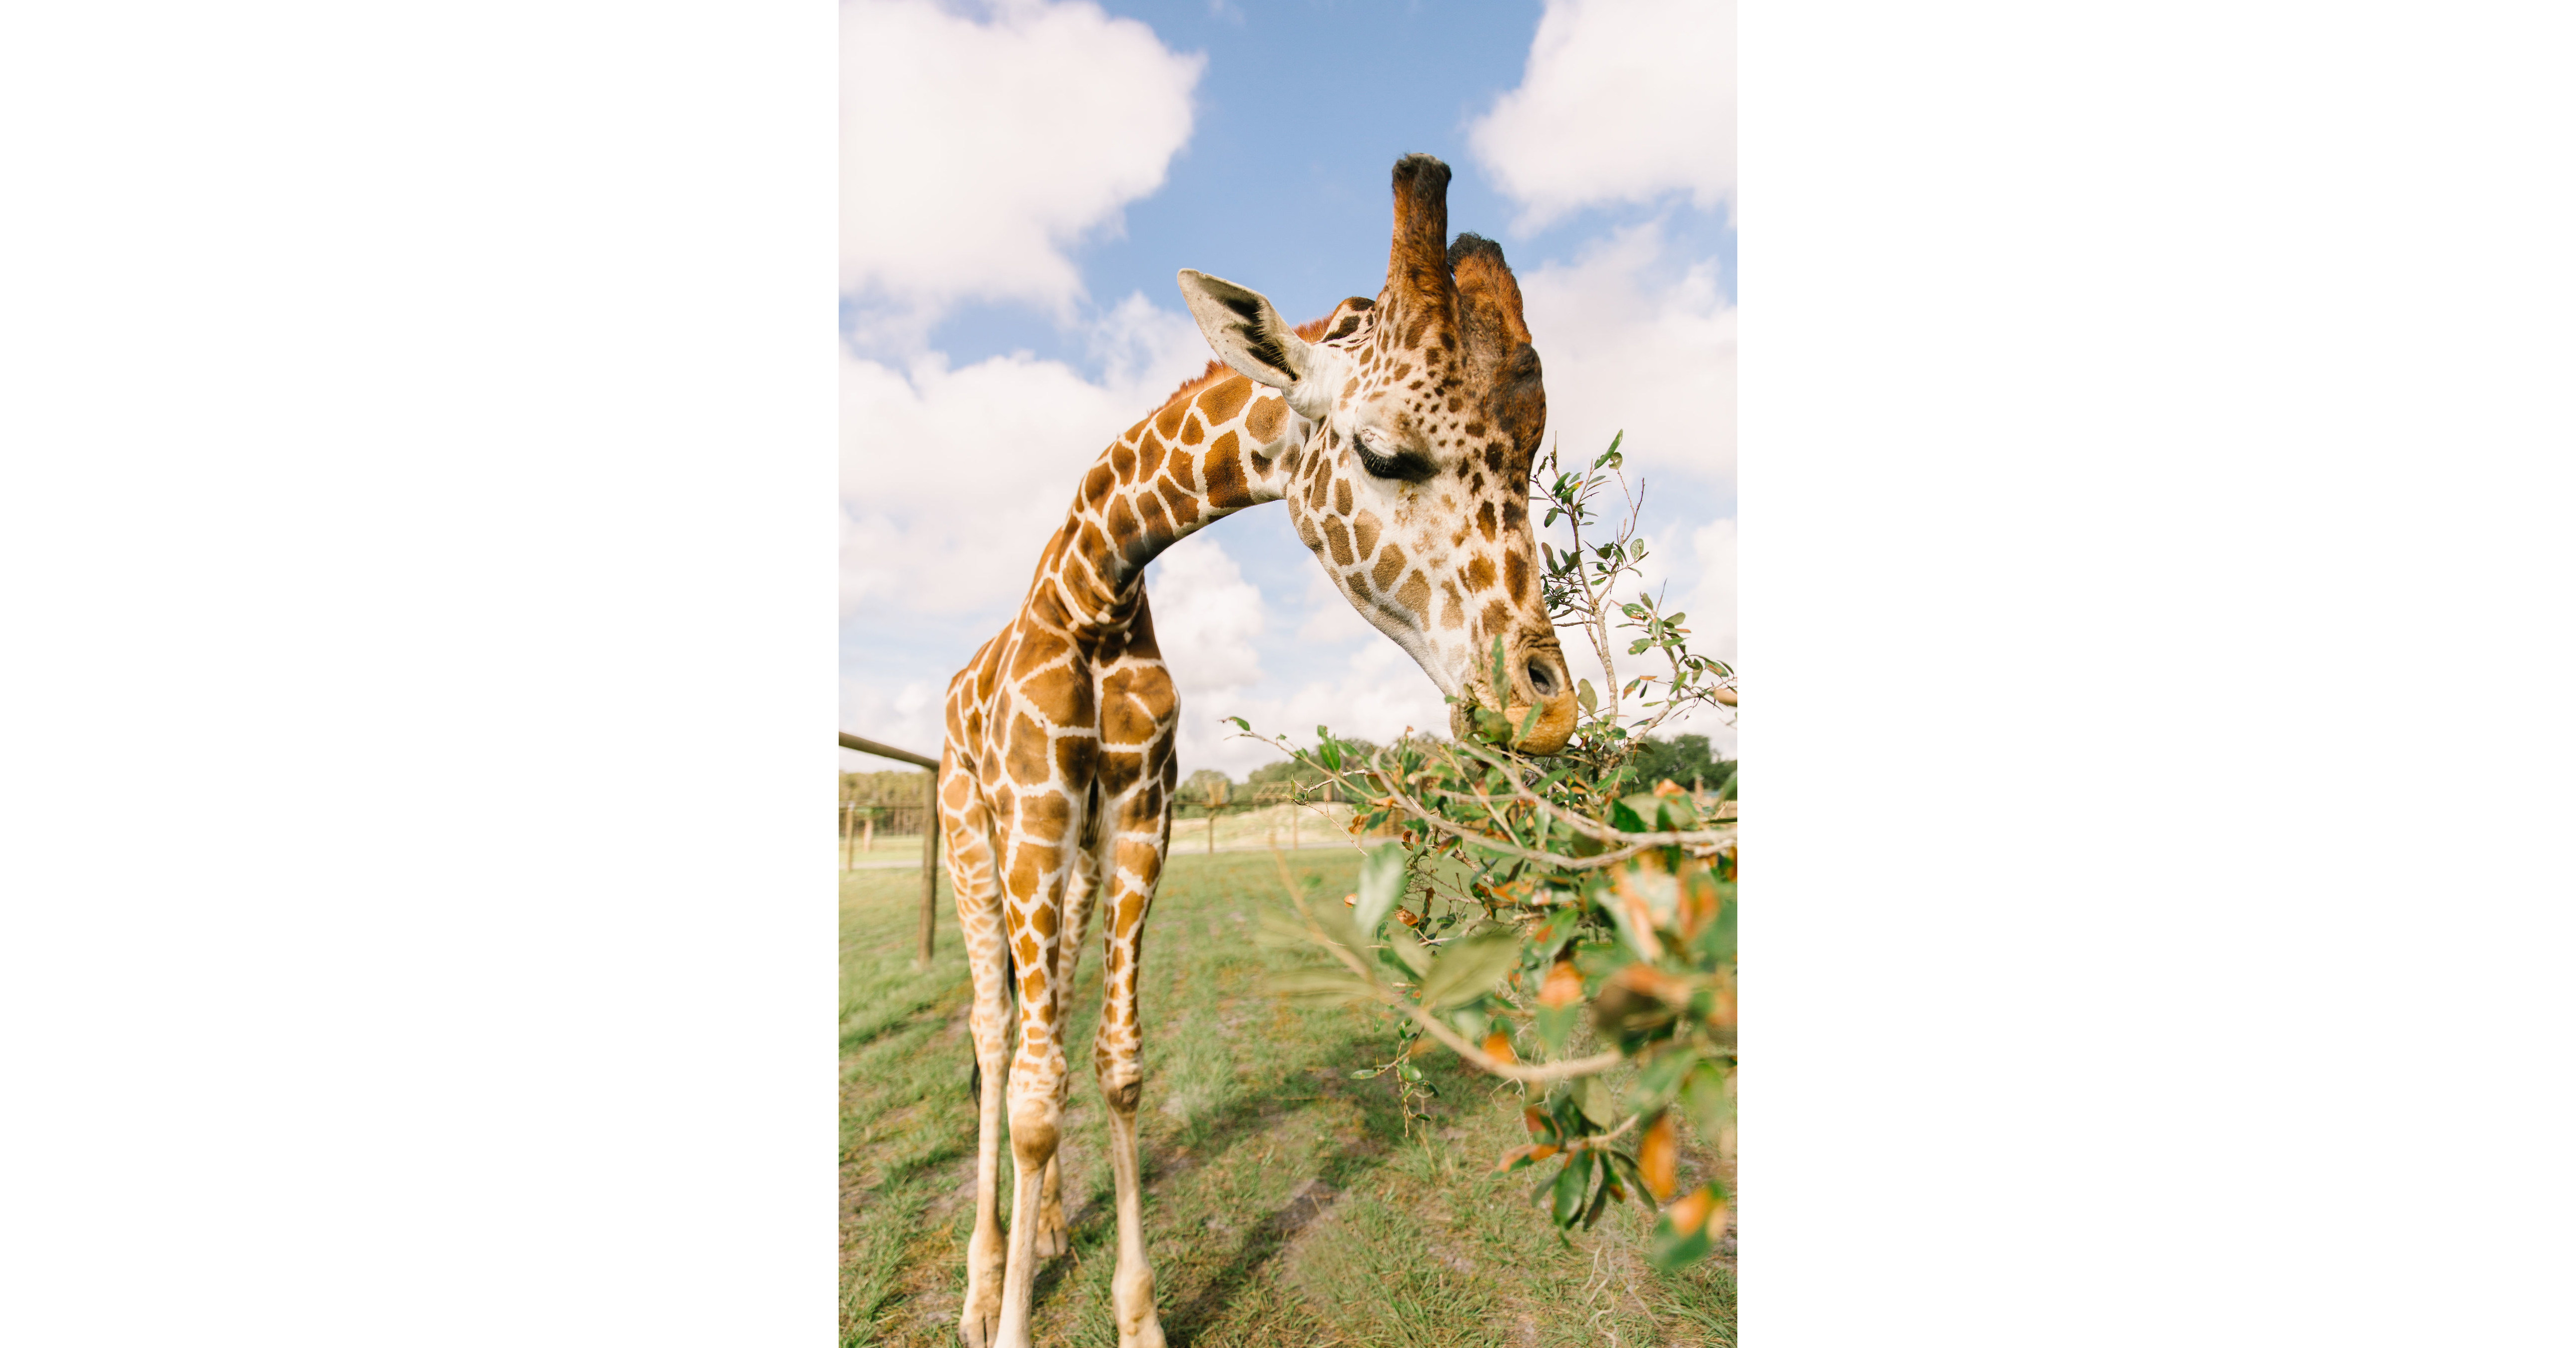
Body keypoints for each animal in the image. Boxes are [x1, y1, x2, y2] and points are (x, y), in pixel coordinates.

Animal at [935, 153, 1578, 1348]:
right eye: (1382, 453)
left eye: (1528, 459)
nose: (1544, 709)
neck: (1096, 591)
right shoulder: (1032, 811)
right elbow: (1035, 1095)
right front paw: (1005, 1317)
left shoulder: (1142, 817)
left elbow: (1116, 1063)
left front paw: (1137, 1312)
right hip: (972, 833)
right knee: (996, 1033)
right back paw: (984, 1269)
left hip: (1072, 861)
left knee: (1042, 1019)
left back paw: (1042, 1236)